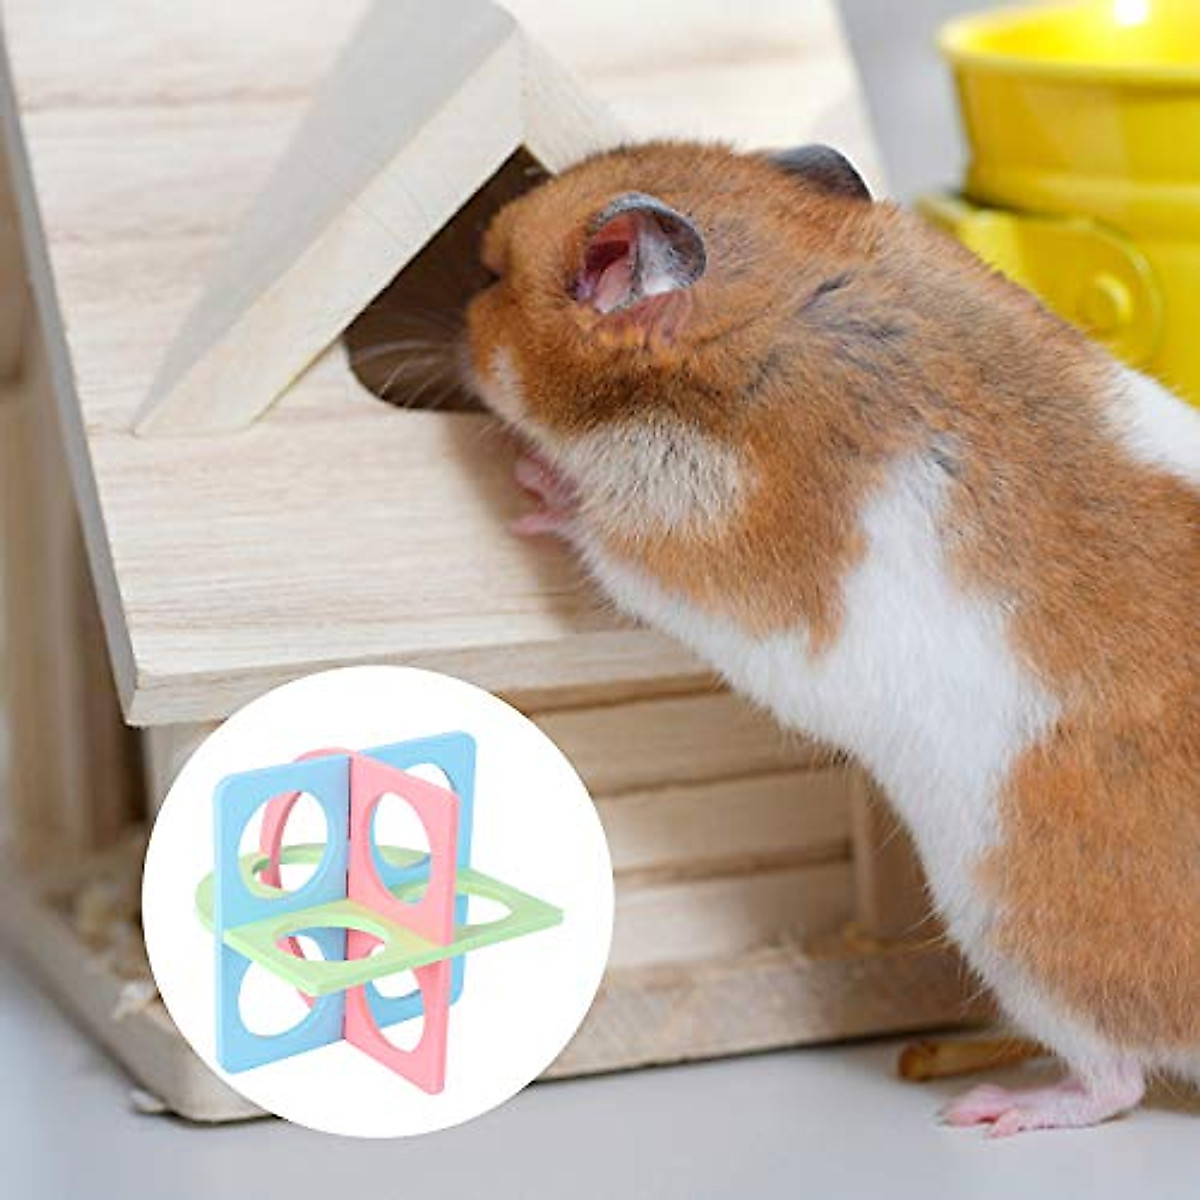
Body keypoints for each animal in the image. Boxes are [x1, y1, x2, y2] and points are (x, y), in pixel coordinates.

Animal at [461, 141, 1199, 1136]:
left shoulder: (680, 545)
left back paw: (988, 1108)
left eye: (495, 278)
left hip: (1021, 938)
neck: (775, 293)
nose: (460, 322)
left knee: (1112, 1078)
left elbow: (594, 528)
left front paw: (531, 483)